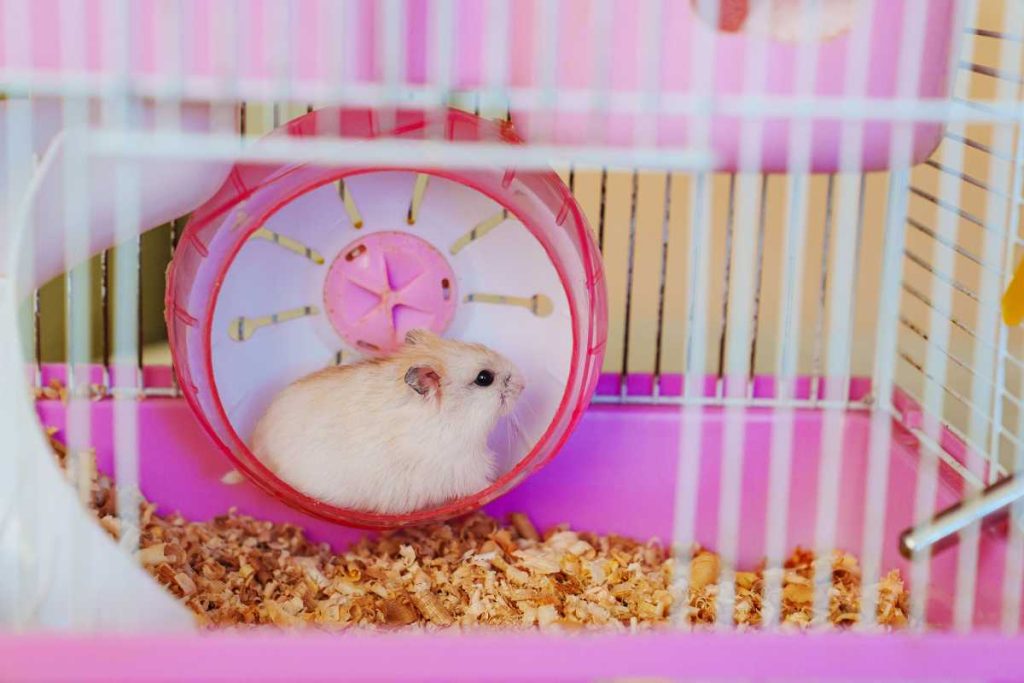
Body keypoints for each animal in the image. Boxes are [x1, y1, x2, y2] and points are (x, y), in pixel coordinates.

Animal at [250, 329, 525, 515]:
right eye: (484, 378)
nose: (524, 384)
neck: (452, 417)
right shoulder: (464, 468)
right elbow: (480, 486)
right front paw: (497, 484)